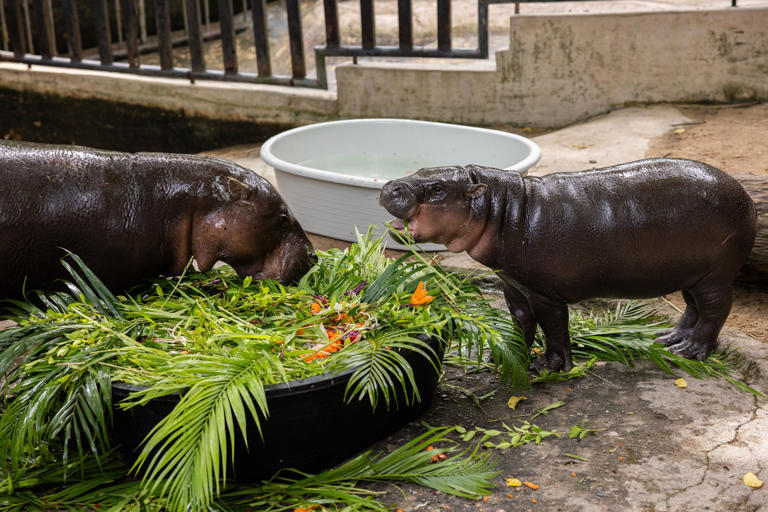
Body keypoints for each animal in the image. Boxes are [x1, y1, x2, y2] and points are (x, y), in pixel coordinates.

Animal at [380, 158, 757, 372]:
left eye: (437, 187)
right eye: (420, 171)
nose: (389, 186)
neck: (502, 209)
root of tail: (745, 194)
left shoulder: (545, 293)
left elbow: (555, 329)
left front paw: (549, 367)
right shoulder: (513, 285)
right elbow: (520, 321)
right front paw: (507, 357)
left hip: (715, 276)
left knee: (715, 310)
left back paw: (691, 351)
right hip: (691, 273)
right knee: (692, 308)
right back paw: (669, 340)